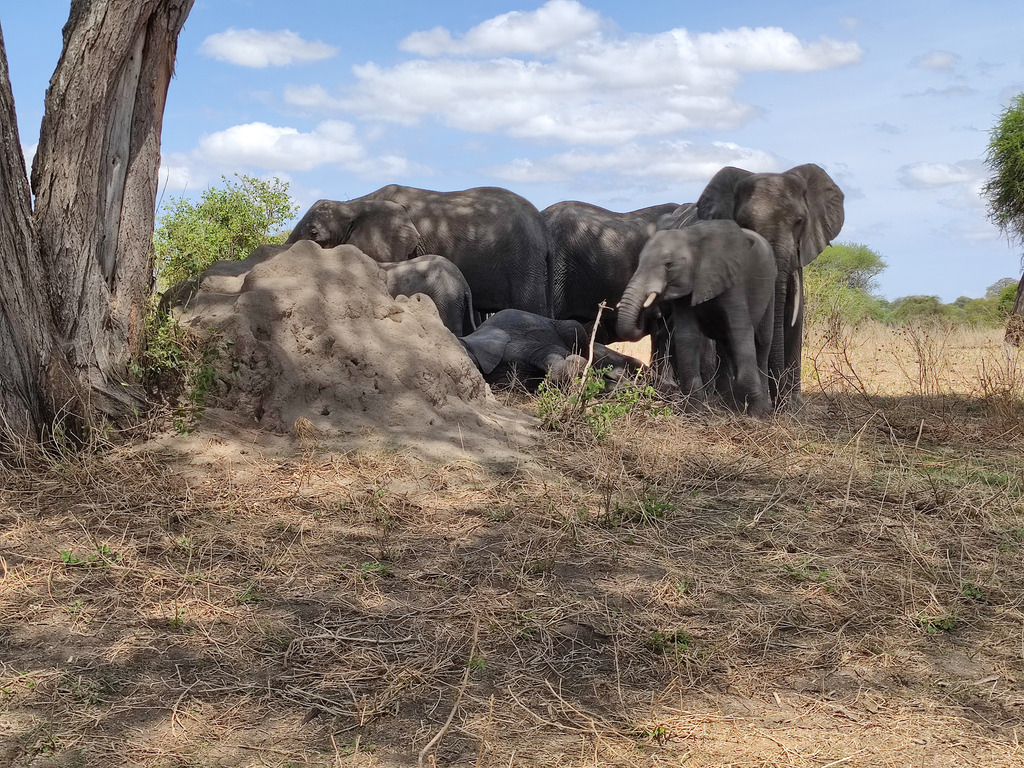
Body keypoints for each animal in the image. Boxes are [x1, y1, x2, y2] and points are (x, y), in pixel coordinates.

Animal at [616, 219, 777, 418]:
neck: (691, 238)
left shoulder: (733, 279)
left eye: (668, 264)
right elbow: (687, 336)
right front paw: (692, 411)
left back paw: (761, 407)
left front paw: (757, 416)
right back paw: (731, 404)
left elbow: (739, 331)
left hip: (770, 288)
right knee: (727, 345)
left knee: (761, 341)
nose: (655, 313)